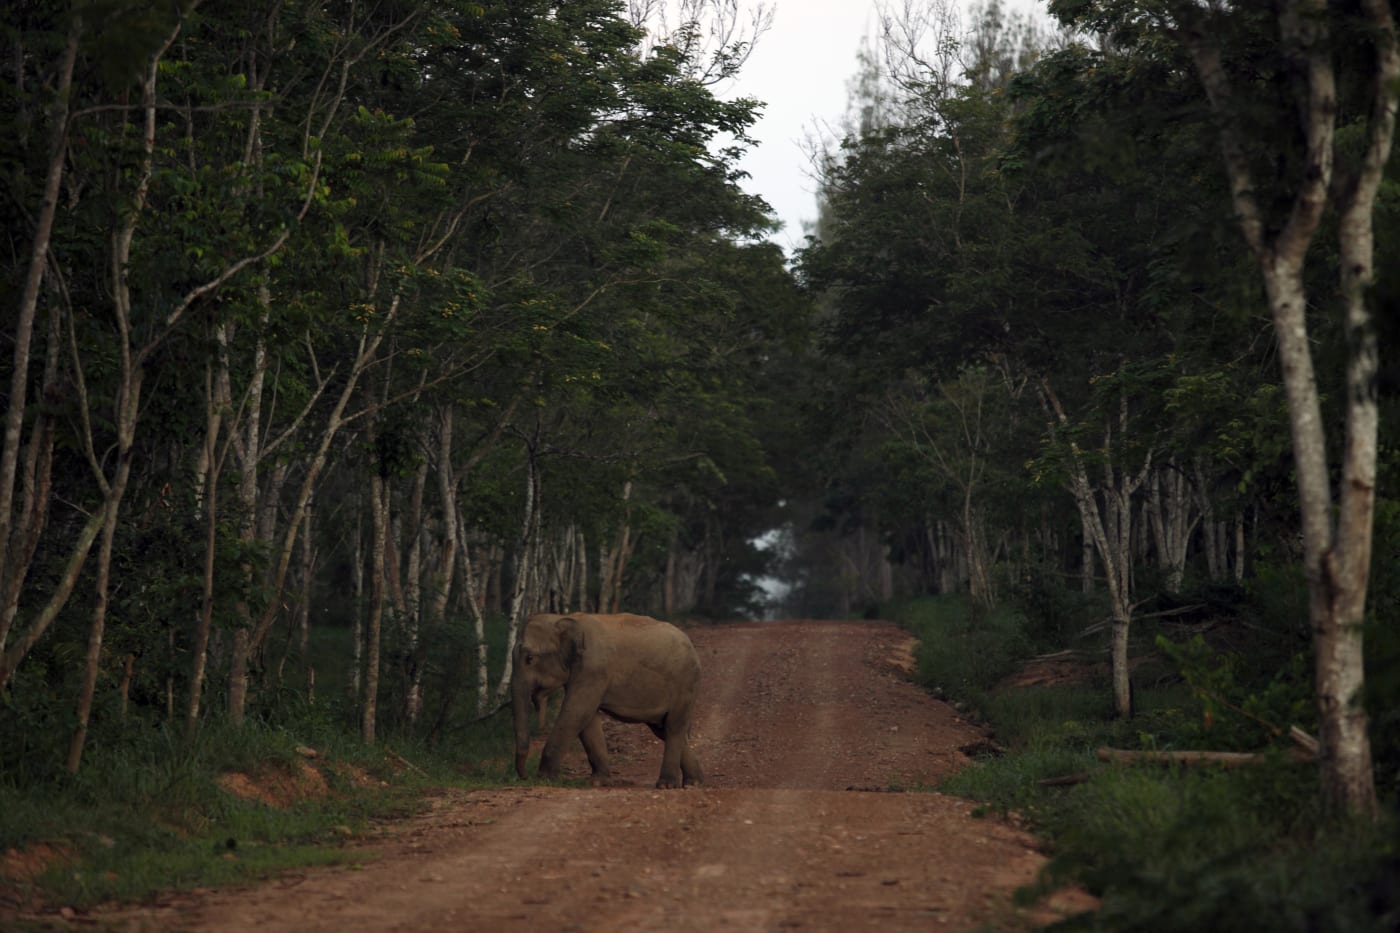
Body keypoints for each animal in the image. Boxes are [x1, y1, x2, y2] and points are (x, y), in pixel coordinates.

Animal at [512, 611, 703, 789]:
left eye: (529, 659)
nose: (525, 776)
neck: (564, 618)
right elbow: (587, 719)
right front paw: (597, 781)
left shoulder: (593, 669)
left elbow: (577, 712)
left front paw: (544, 779)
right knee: (662, 729)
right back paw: (694, 782)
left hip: (685, 684)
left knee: (673, 727)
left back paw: (667, 785)